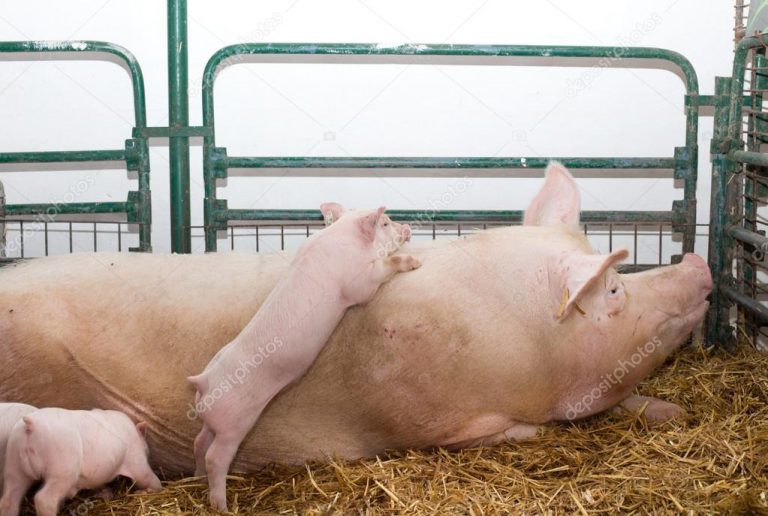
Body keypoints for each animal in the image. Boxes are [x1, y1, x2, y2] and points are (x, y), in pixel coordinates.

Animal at [0, 163, 712, 478]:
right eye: (614, 288)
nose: (700, 262)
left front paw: (675, 412)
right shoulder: (434, 419)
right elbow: (515, 431)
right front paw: (532, 433)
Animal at [0, 408, 162, 516]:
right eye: (146, 448)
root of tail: (31, 426)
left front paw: (105, 494)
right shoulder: (135, 457)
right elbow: (148, 478)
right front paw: (149, 490)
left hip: (13, 461)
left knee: (9, 499)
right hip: (63, 468)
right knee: (44, 499)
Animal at [188, 205, 421, 510]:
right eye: (384, 222)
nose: (407, 227)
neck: (343, 238)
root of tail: (204, 381)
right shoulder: (359, 282)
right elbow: (379, 273)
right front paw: (414, 262)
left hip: (212, 421)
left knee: (198, 442)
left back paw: (196, 479)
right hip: (233, 425)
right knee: (215, 457)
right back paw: (222, 506)